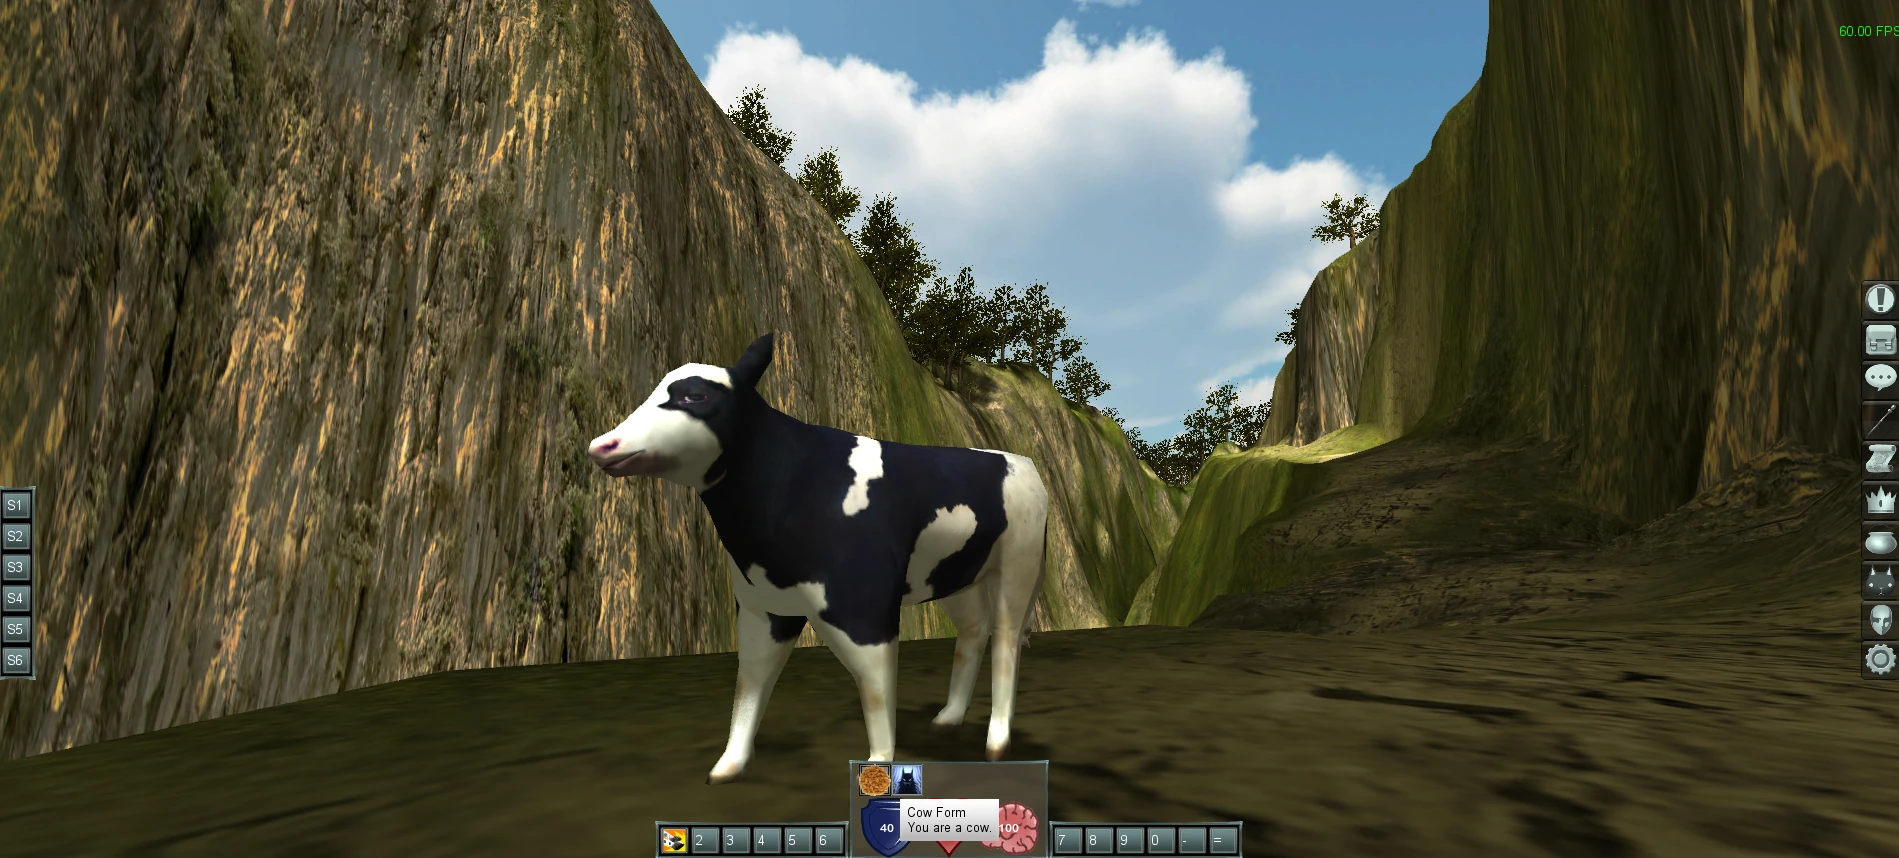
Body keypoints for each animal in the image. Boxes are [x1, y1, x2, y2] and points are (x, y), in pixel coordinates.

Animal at [587, 334, 1050, 784]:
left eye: (695, 396)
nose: (600, 445)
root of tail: (1021, 461)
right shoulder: (762, 607)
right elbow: (749, 685)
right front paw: (729, 765)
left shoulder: (864, 609)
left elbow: (876, 691)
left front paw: (879, 766)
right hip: (955, 577)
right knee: (974, 630)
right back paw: (949, 718)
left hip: (1019, 564)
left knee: (1006, 639)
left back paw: (996, 743)